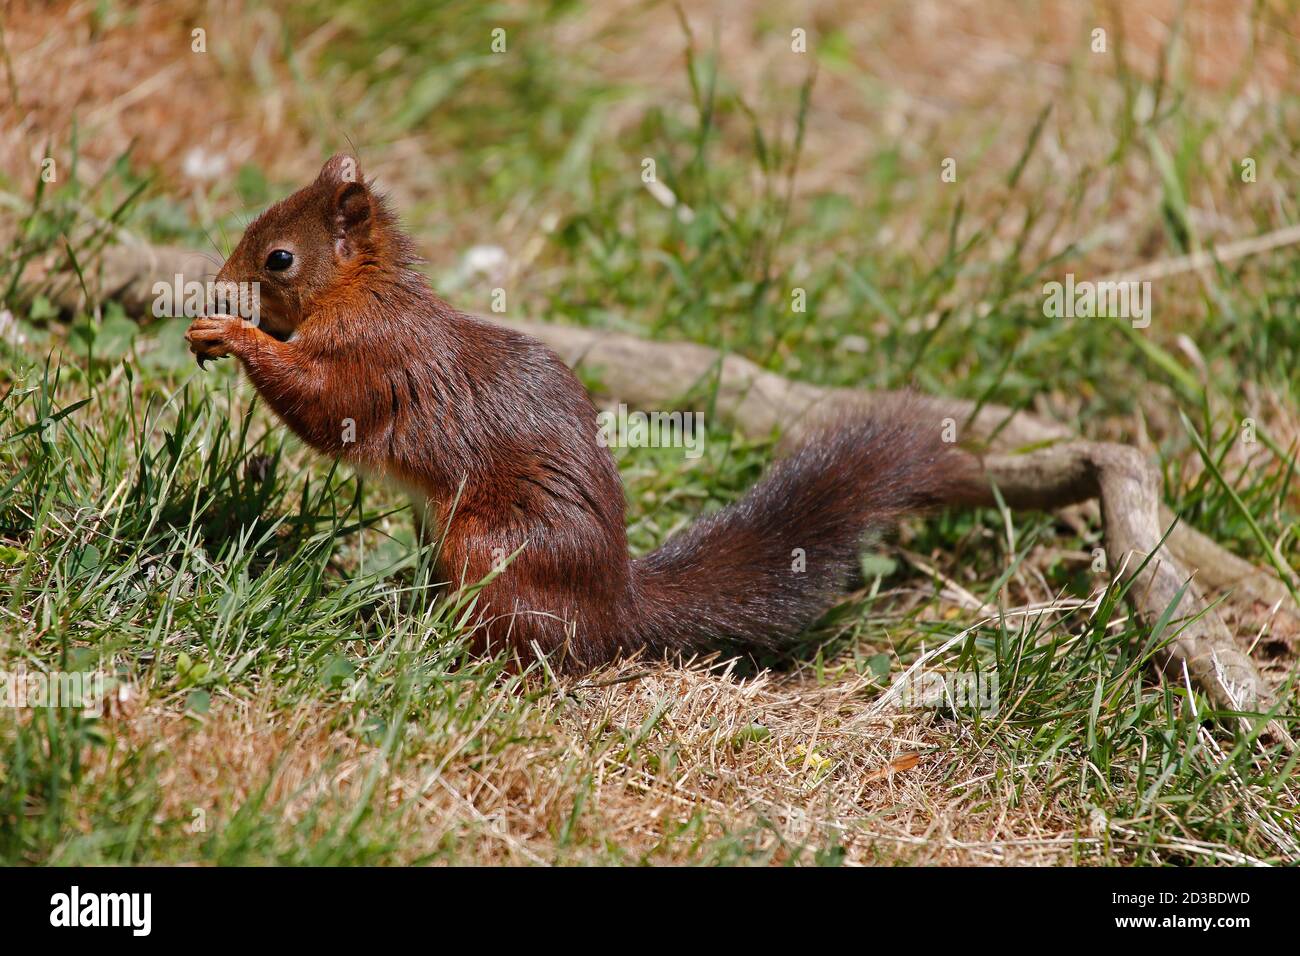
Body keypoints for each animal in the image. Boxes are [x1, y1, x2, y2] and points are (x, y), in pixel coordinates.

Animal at [186, 155, 982, 673]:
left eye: (279, 258)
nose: (219, 285)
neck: (362, 292)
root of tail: (615, 609)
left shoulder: (373, 358)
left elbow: (322, 407)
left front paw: (232, 334)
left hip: (488, 547)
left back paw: (444, 652)